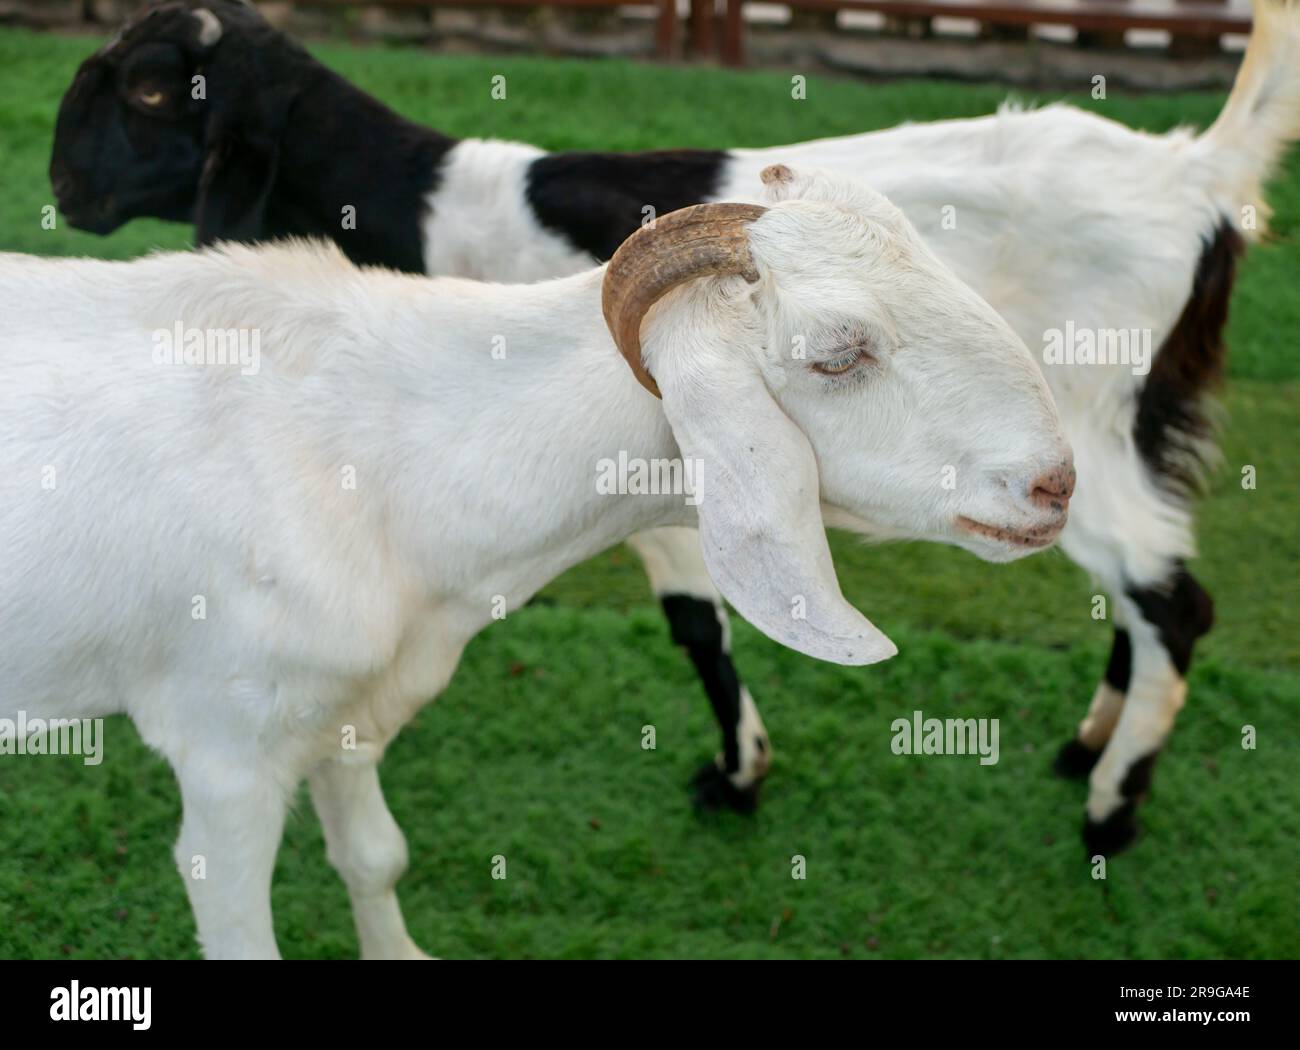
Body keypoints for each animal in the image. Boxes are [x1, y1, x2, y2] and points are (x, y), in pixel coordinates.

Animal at [0, 168, 1072, 958]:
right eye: (839, 355)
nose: (1056, 483)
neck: (372, 453)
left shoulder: (347, 712)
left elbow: (375, 857)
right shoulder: (226, 752)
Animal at [48, 0, 1300, 852]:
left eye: (152, 94)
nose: (62, 191)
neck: (421, 212)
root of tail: (1193, 172)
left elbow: (697, 618)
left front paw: (737, 777)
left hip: (1082, 416)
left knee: (1173, 602)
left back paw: (1110, 809)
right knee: (1141, 591)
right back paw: (1090, 744)